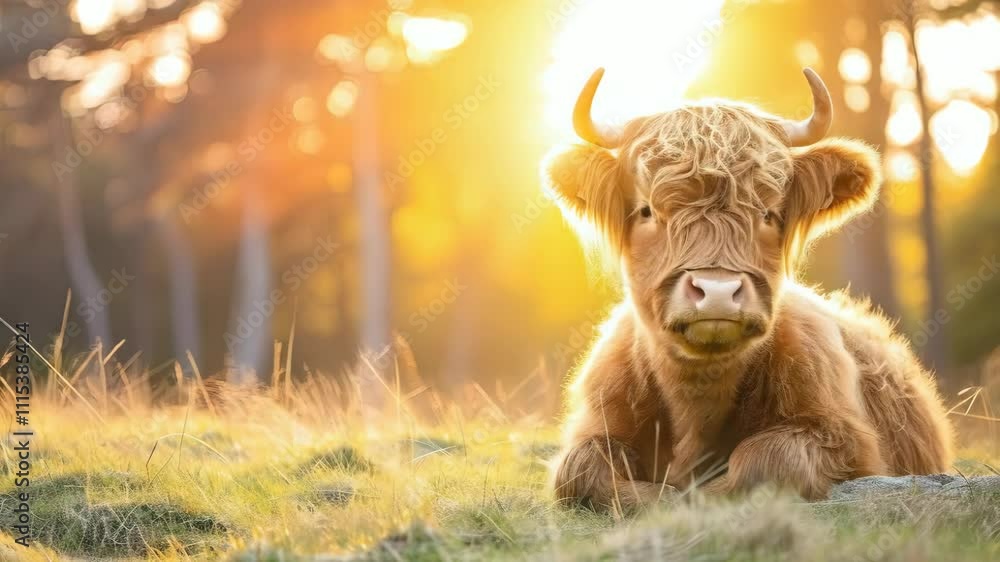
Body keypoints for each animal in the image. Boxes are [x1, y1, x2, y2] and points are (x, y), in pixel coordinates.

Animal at [544, 68, 953, 513]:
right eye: (647, 210)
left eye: (769, 213)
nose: (717, 291)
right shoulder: (597, 424)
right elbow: (579, 469)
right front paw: (660, 496)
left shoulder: (844, 440)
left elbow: (765, 457)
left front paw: (697, 496)